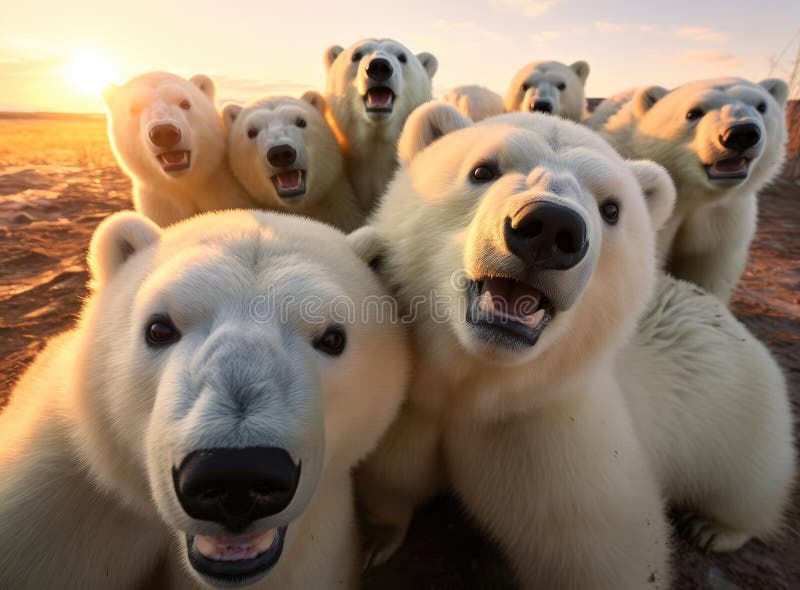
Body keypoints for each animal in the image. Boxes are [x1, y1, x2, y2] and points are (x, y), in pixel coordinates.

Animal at [356, 103, 677, 589]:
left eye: (612, 209)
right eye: (482, 170)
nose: (550, 227)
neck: (471, 387)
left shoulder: (547, 441)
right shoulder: (409, 410)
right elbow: (388, 477)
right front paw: (375, 541)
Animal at [585, 77, 789, 303]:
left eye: (761, 106)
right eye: (693, 113)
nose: (741, 133)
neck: (692, 193)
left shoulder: (724, 218)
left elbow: (710, 270)